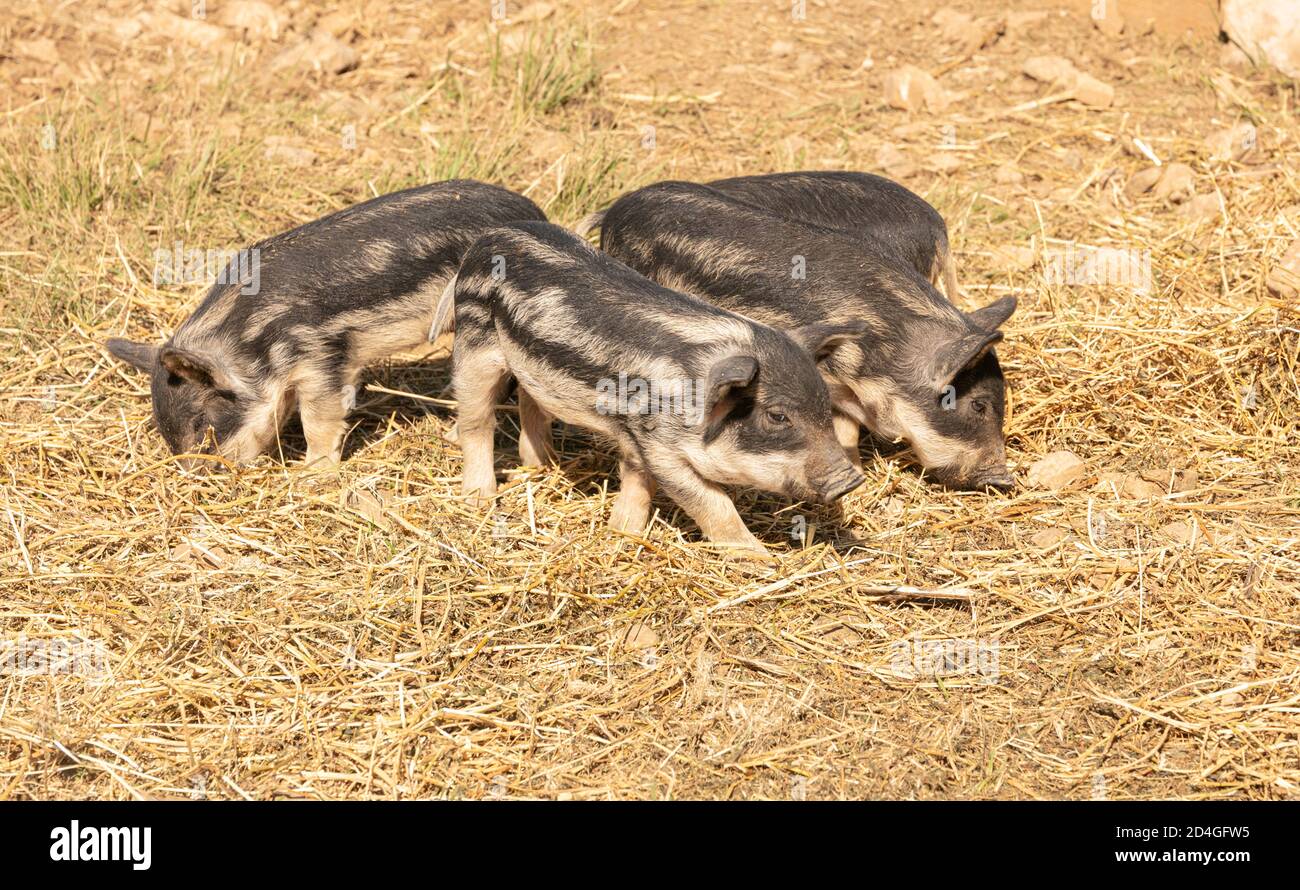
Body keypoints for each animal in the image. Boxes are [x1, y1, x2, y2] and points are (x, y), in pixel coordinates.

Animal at [105, 180, 546, 467]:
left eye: (201, 423)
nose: (201, 473)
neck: (251, 337)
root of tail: (537, 214)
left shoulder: (321, 352)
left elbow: (319, 418)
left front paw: (310, 473)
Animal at [429, 220, 867, 555]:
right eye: (777, 416)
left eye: (824, 406)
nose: (852, 479)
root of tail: (489, 238)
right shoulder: (661, 447)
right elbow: (714, 503)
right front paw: (760, 558)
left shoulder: (635, 435)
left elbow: (637, 482)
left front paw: (623, 531)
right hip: (475, 345)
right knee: (476, 421)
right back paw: (480, 498)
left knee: (528, 399)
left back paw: (544, 464)